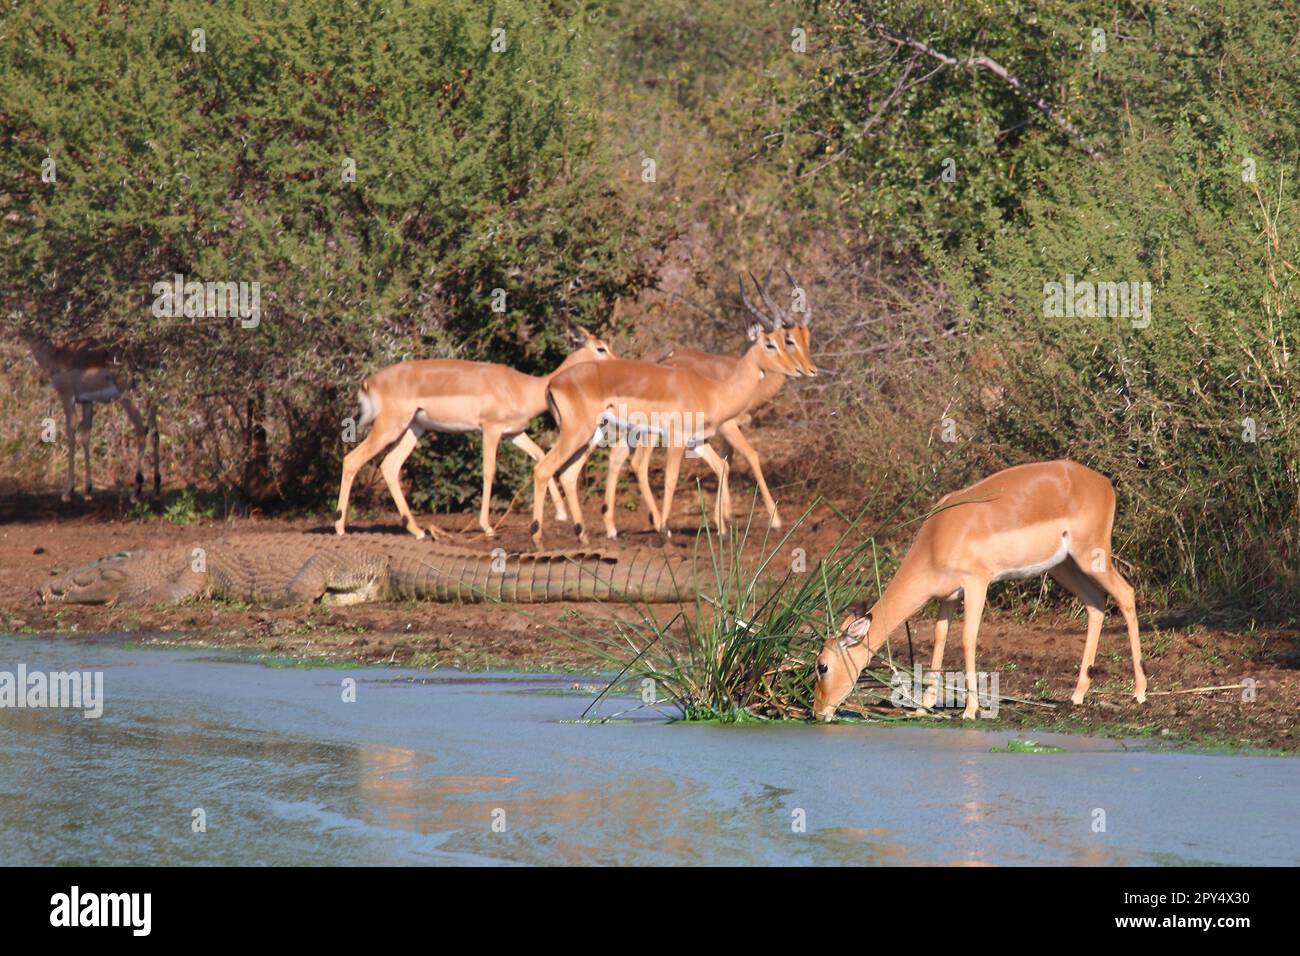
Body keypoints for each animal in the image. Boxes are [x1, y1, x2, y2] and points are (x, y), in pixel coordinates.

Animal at [26, 337, 160, 503]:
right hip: (147, 391)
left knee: (141, 428)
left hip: (127, 395)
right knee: (154, 429)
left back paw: (136, 492)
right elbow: (86, 437)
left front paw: (68, 492)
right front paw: (88, 490)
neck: (55, 355)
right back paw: (156, 488)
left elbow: (71, 435)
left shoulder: (68, 397)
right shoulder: (86, 402)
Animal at [333, 326, 616, 540]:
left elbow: (538, 454)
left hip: (413, 429)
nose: (618, 364)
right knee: (352, 459)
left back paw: (418, 531)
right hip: (389, 427)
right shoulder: (490, 429)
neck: (524, 386)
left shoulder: (513, 433)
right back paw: (340, 528)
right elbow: (489, 470)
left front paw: (560, 513)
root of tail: (369, 382)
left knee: (389, 466)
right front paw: (487, 527)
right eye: (600, 347)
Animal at [530, 286, 805, 549]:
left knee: (568, 473)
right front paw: (664, 532)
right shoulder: (677, 440)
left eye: (785, 341)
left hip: (590, 436)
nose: (800, 370)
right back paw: (538, 538)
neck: (712, 391)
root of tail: (553, 382)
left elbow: (722, 466)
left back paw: (583, 536)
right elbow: (671, 478)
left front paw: (723, 529)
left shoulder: (698, 442)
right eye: (771, 344)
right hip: (578, 434)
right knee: (543, 469)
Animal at [601, 270, 817, 539]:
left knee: (617, 456)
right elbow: (750, 457)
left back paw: (613, 527)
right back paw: (657, 524)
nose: (807, 370)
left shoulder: (716, 434)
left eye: (806, 338)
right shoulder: (727, 427)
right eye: (786, 341)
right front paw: (772, 519)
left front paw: (724, 521)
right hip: (651, 434)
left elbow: (725, 464)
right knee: (639, 464)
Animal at [812, 460, 1147, 721]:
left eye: (822, 666)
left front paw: (970, 710)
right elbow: (939, 639)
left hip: (1092, 556)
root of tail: (1103, 482)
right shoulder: (946, 598)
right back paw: (1077, 694)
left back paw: (1140, 692)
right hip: (1064, 566)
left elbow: (967, 638)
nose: (817, 712)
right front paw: (924, 706)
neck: (937, 537)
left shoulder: (976, 583)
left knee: (1126, 594)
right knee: (1096, 602)